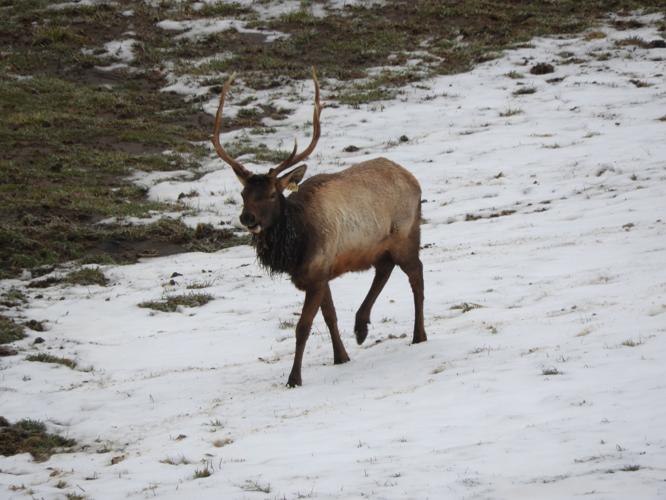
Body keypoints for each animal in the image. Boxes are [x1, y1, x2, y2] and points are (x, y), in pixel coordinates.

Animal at [212, 68, 426, 387]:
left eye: (272, 194)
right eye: (243, 194)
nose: (247, 218)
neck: (295, 247)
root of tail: (413, 179)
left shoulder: (316, 273)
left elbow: (303, 326)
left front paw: (294, 378)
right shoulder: (321, 273)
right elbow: (330, 317)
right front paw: (341, 356)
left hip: (406, 235)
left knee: (417, 276)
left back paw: (418, 335)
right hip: (380, 246)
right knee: (383, 268)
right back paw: (361, 327)